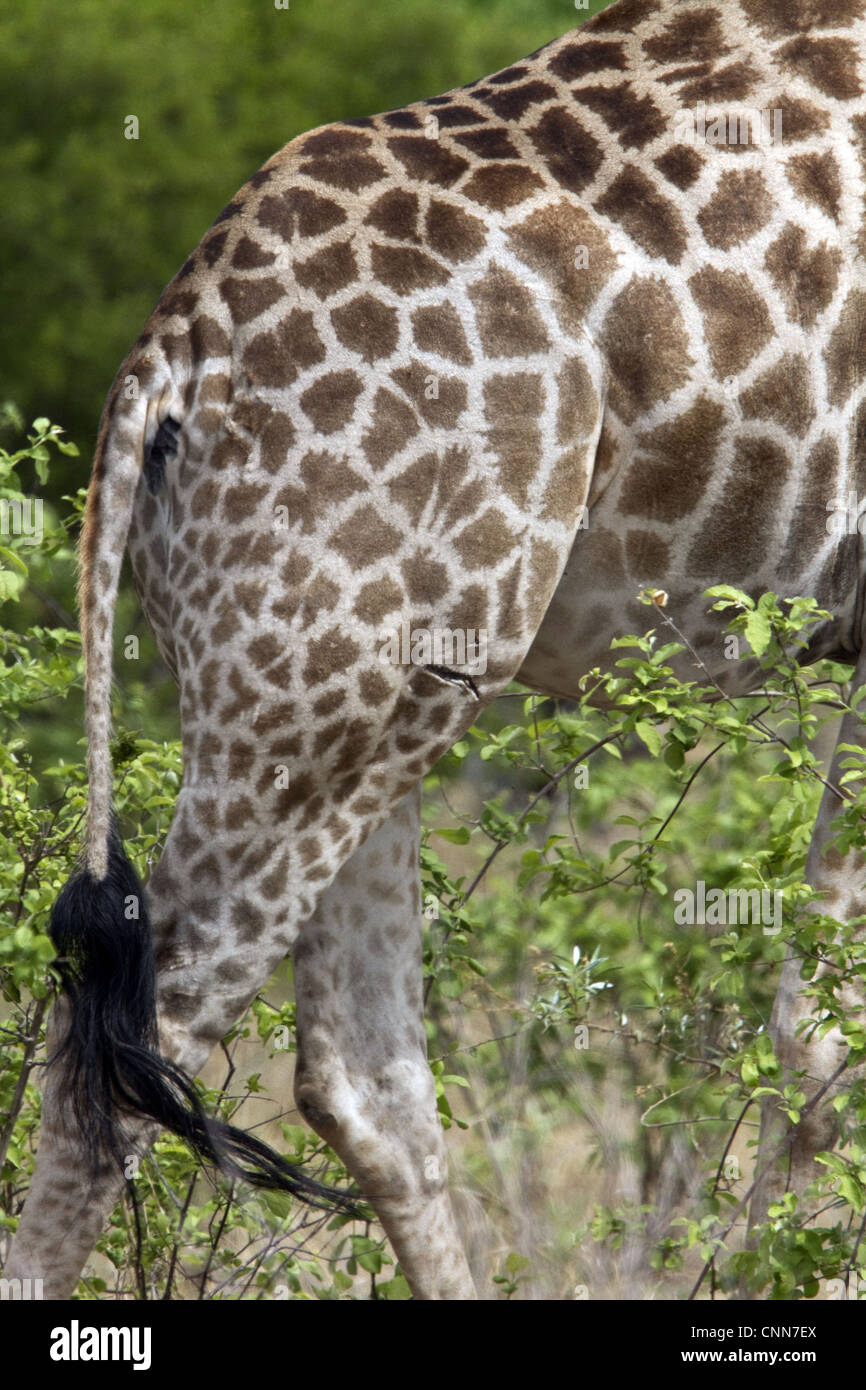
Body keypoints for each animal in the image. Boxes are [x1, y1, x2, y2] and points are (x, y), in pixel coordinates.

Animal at [5, 0, 866, 1300]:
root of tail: (170, 357)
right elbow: (823, 1040)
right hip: (331, 685)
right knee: (146, 1034)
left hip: (358, 693)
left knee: (357, 1072)